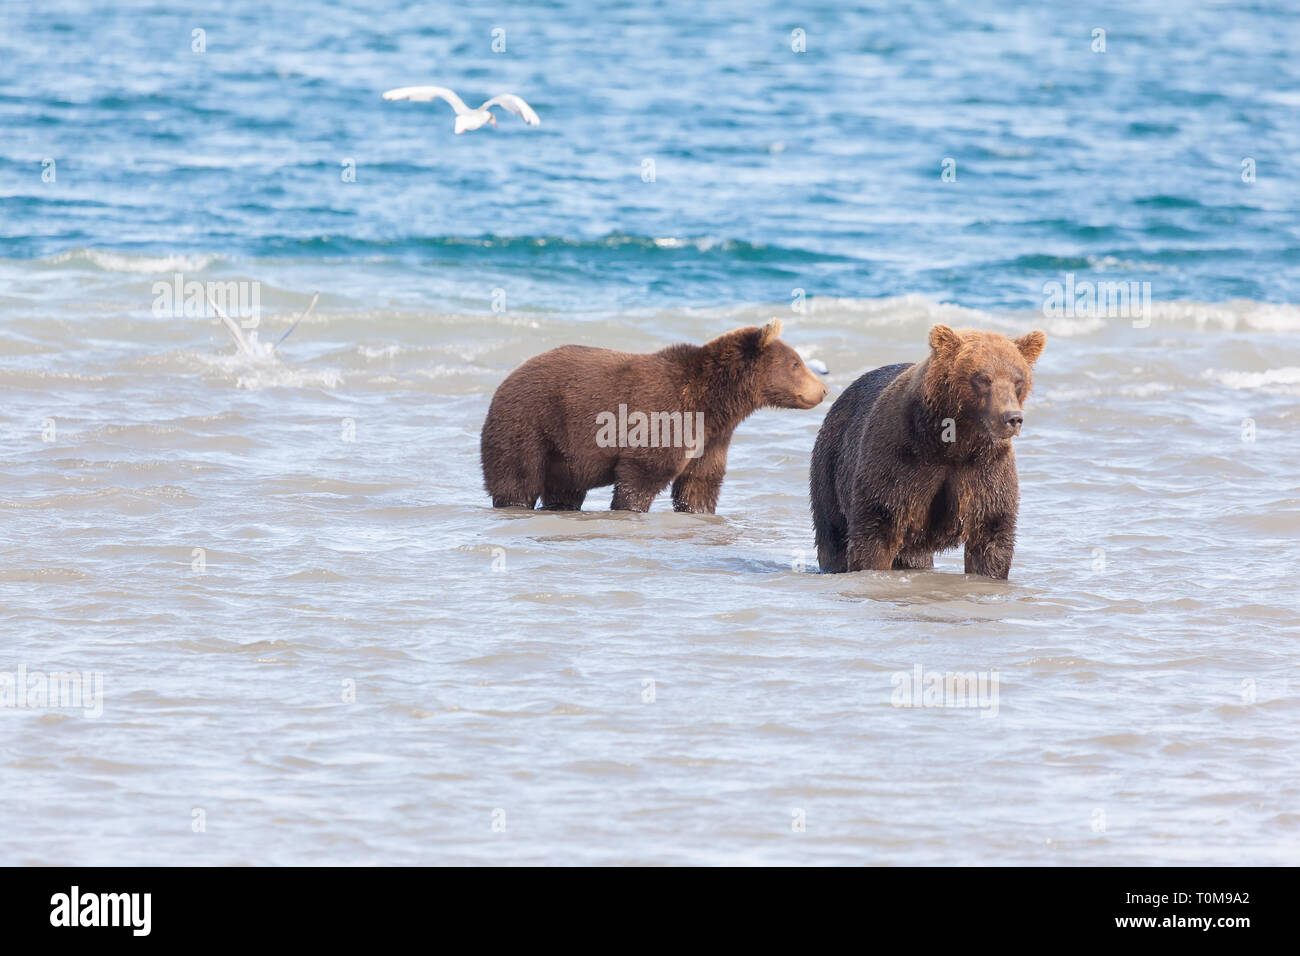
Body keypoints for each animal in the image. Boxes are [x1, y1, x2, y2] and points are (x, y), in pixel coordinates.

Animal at [481, 319, 828, 513]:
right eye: (796, 363)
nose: (823, 389)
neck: (713, 403)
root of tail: (507, 379)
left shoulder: (712, 438)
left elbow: (700, 483)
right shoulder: (665, 417)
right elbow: (643, 474)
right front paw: (630, 507)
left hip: (563, 453)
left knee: (564, 490)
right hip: (530, 423)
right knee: (517, 479)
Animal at [809, 324, 1046, 579]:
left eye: (1018, 380)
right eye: (983, 378)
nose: (1012, 417)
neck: (955, 442)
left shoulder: (986, 468)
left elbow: (992, 535)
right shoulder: (902, 460)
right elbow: (877, 530)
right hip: (830, 467)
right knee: (832, 534)